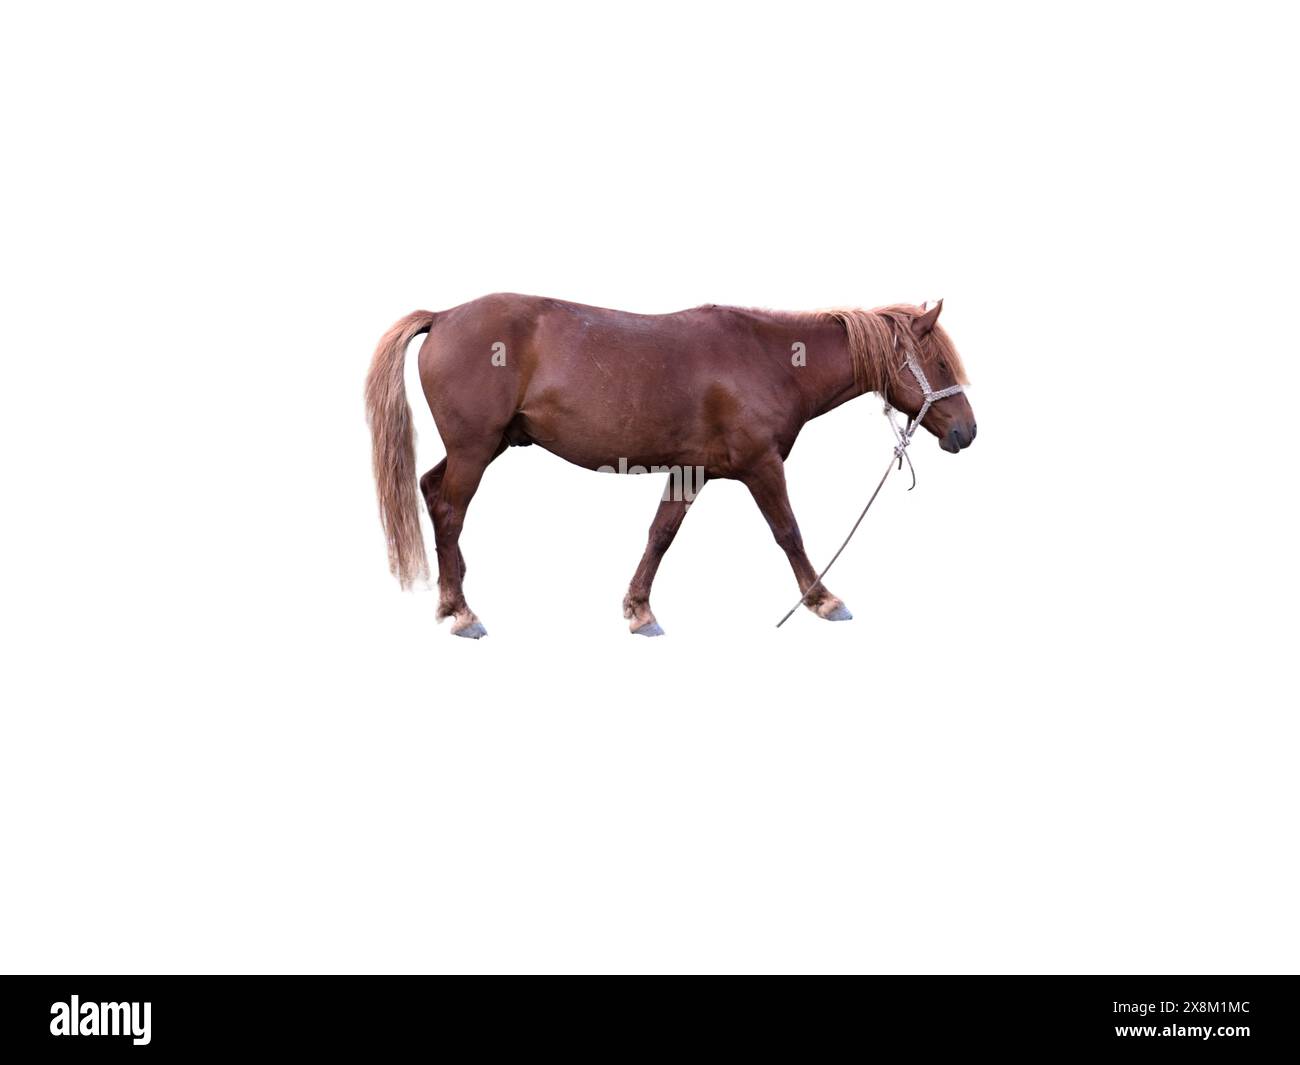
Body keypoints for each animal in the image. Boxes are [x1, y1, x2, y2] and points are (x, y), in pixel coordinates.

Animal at [365, 294, 975, 638]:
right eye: (941, 362)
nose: (967, 432)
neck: (769, 360)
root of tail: (444, 317)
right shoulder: (761, 467)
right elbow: (789, 533)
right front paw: (824, 600)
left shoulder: (692, 471)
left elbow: (660, 535)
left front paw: (639, 610)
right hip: (475, 450)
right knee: (449, 511)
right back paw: (462, 611)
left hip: (484, 446)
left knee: (430, 490)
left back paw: (452, 597)